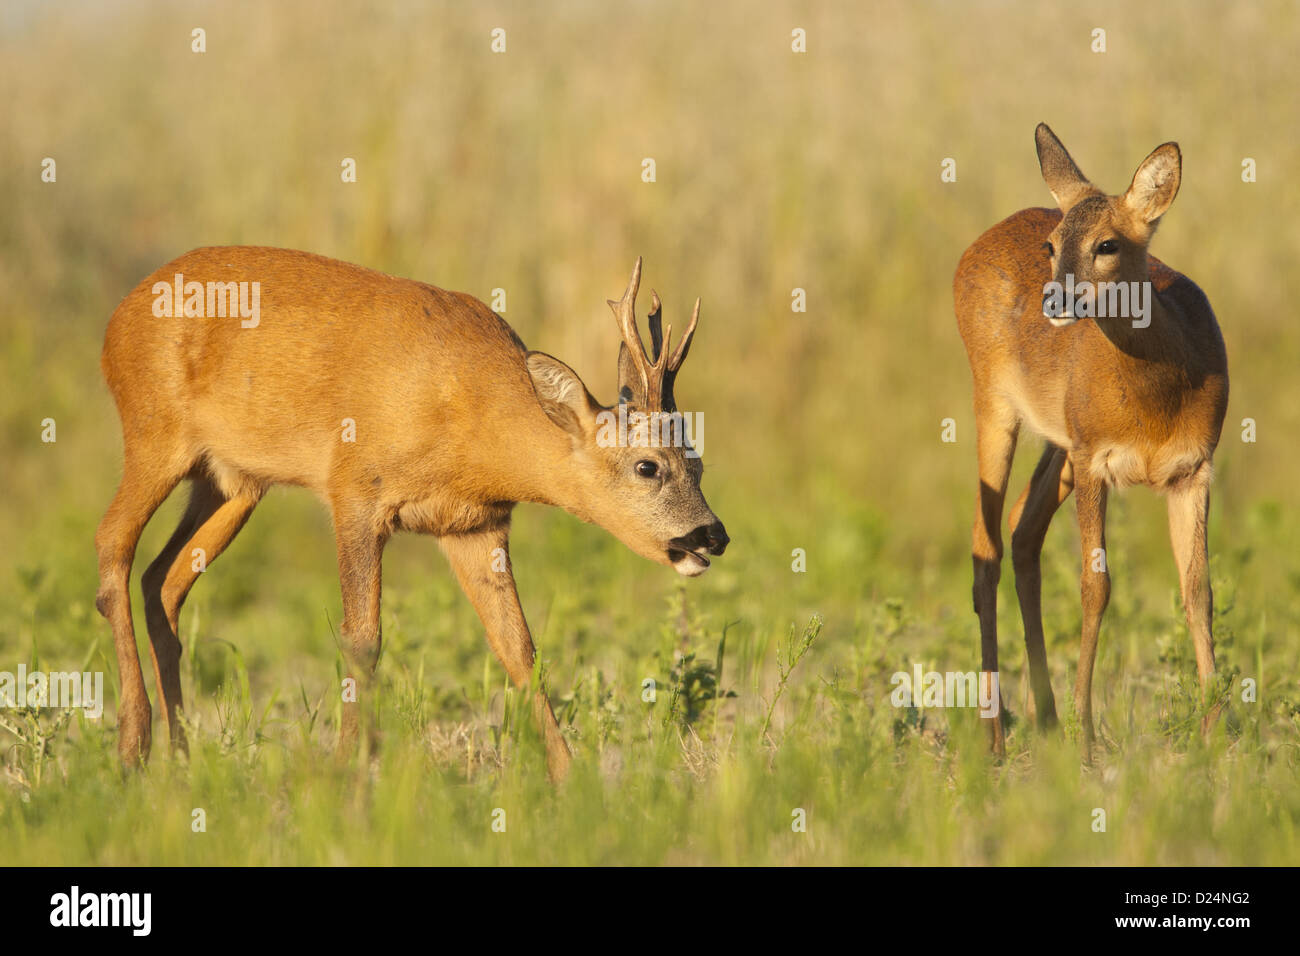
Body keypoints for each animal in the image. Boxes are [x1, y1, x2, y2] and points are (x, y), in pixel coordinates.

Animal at [94, 251, 728, 781]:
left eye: (697, 460)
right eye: (648, 466)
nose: (713, 535)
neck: (471, 419)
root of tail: (115, 320)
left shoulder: (476, 524)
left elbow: (519, 648)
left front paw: (570, 780)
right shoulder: (354, 487)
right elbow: (362, 640)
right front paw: (347, 770)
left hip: (232, 483)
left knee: (162, 581)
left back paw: (179, 754)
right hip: (154, 432)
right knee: (113, 545)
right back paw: (132, 746)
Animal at [953, 124, 1229, 760]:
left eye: (1108, 244)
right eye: (1053, 245)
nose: (1055, 299)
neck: (1155, 401)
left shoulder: (1194, 469)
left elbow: (1198, 590)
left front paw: (1217, 735)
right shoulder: (1096, 460)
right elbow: (1095, 586)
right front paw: (1087, 733)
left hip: (1058, 446)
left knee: (1022, 531)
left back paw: (1047, 721)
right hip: (996, 408)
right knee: (986, 548)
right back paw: (996, 738)